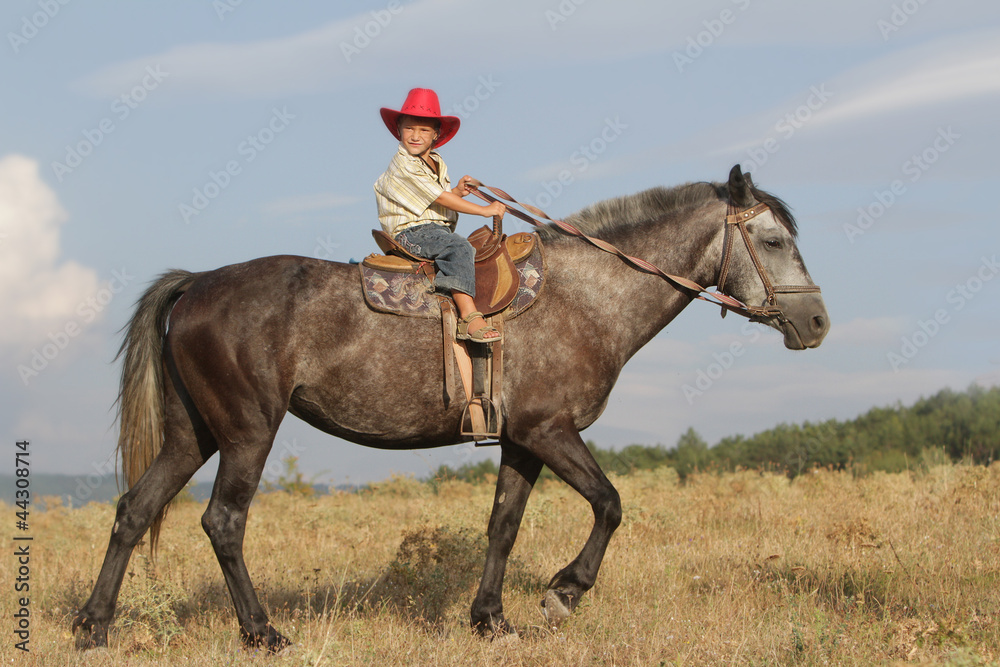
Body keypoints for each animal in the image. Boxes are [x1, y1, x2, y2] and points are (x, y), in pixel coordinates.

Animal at [72, 165, 829, 652]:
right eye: (772, 241)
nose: (817, 322)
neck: (587, 296)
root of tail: (198, 282)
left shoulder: (522, 439)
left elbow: (503, 525)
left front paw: (490, 619)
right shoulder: (552, 431)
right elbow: (610, 504)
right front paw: (563, 592)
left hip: (192, 433)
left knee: (135, 511)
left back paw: (93, 626)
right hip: (247, 432)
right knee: (224, 522)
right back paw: (261, 632)